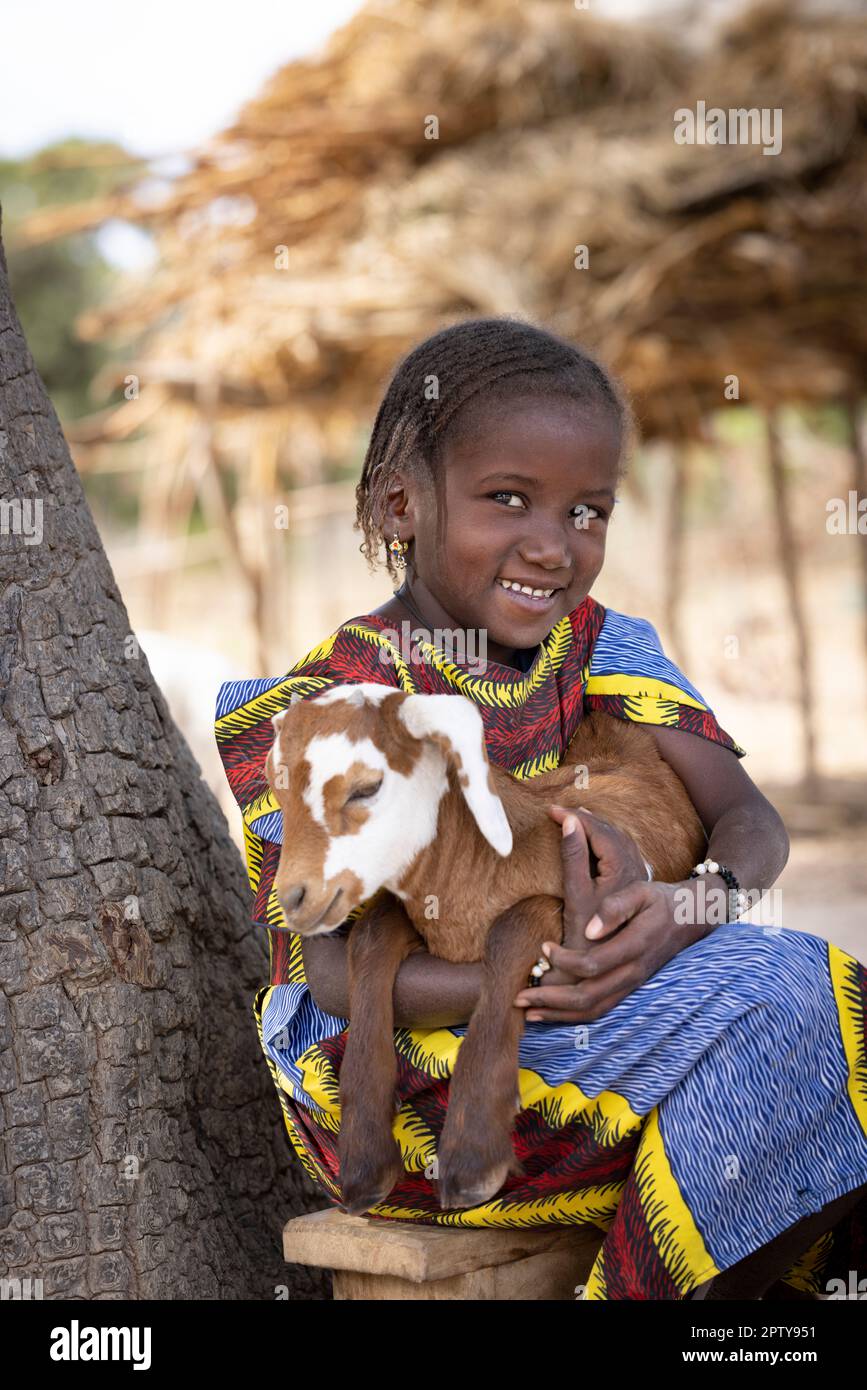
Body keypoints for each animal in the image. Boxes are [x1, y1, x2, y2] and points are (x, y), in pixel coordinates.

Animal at [267, 682, 705, 1214]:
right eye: (277, 792)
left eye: (366, 788)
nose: (293, 898)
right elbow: (371, 934)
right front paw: (363, 1159)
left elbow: (512, 927)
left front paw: (473, 1153)